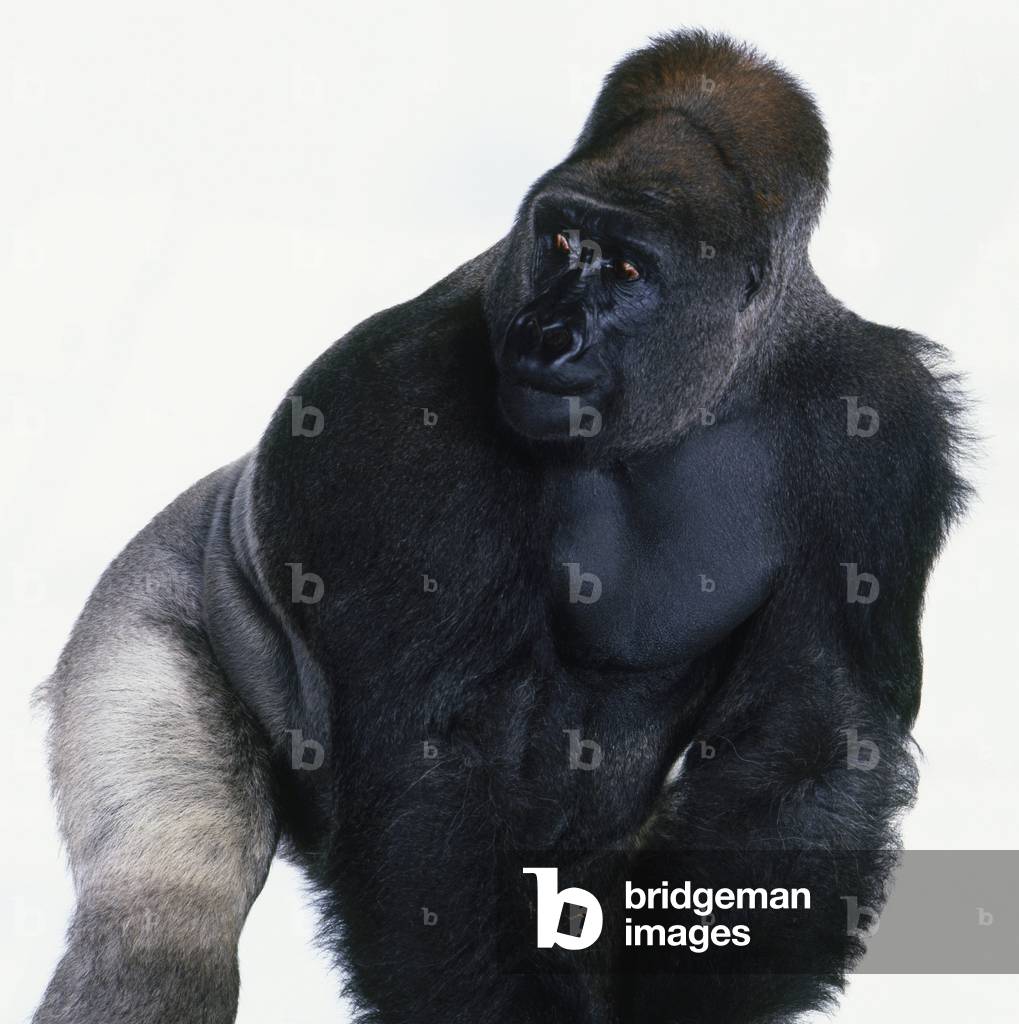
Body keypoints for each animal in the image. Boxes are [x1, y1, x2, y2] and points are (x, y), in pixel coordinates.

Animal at [33, 29, 968, 1024]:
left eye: (626, 269)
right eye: (560, 238)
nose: (548, 335)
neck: (715, 383)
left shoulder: (884, 424)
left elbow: (813, 738)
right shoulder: (390, 394)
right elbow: (436, 761)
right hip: (159, 583)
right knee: (168, 910)